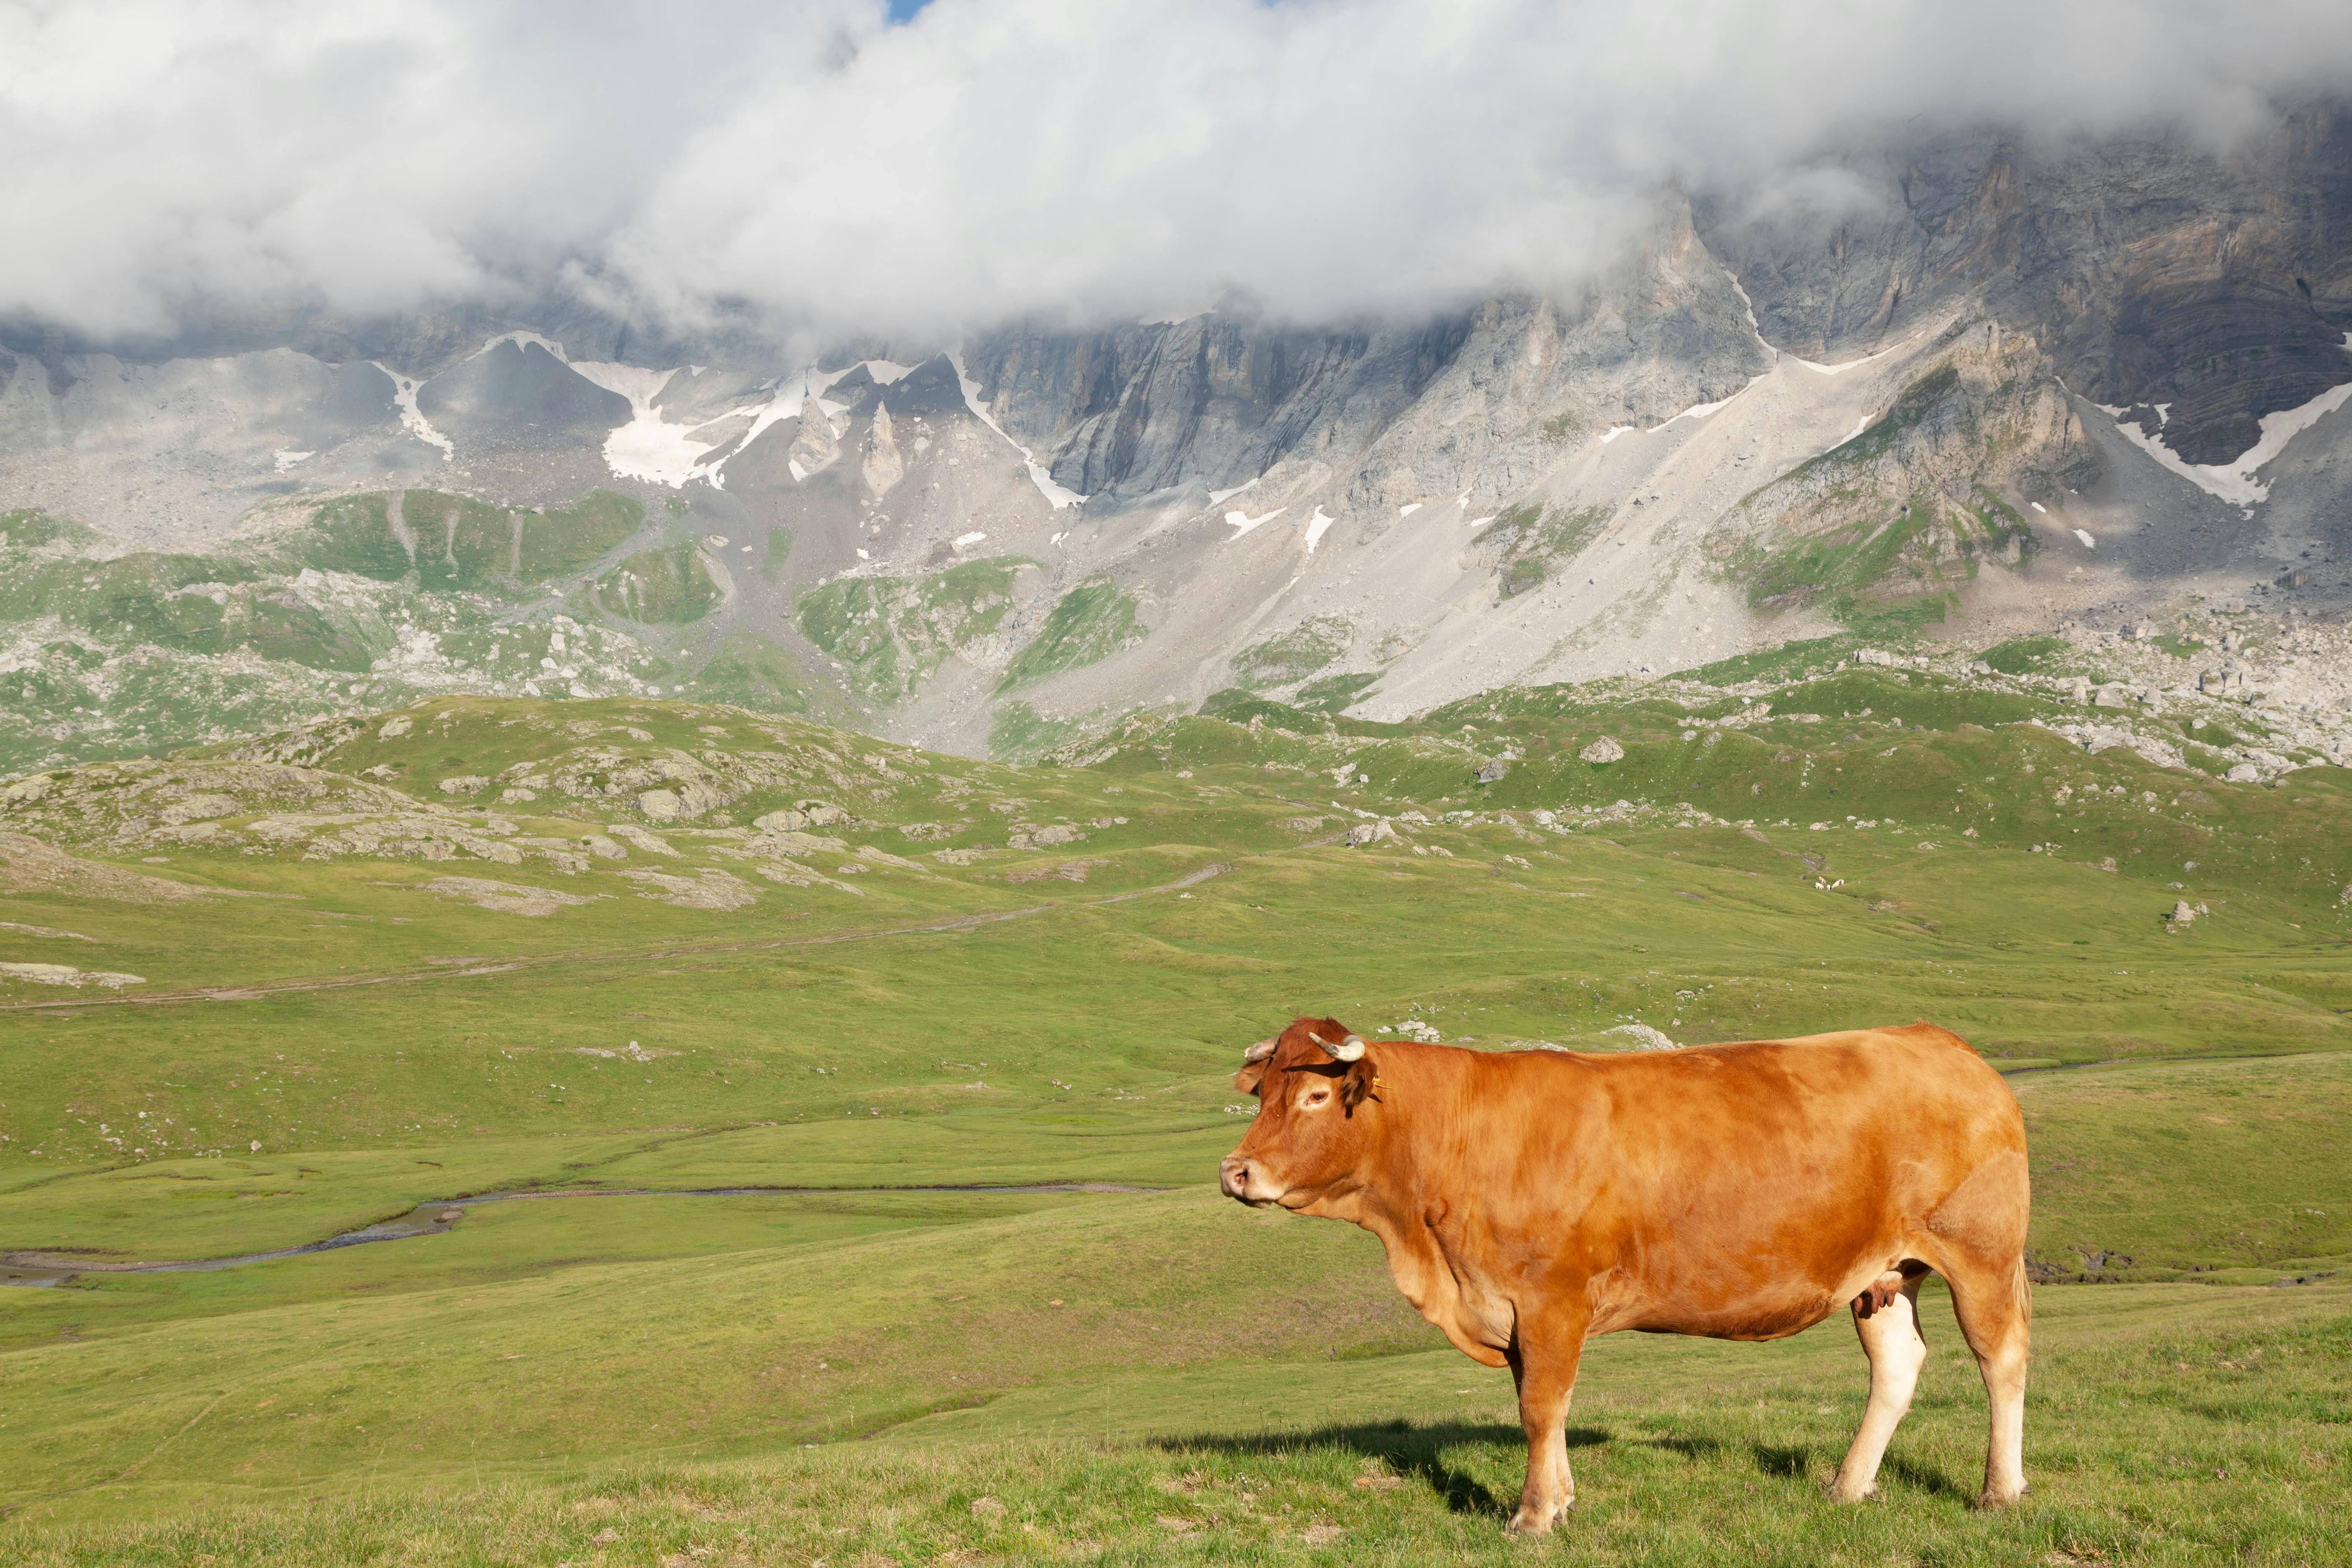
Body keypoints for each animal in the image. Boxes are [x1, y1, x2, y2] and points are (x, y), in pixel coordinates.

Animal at [1219, 1016, 2030, 1535]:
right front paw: (1561, 1501)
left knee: (2001, 1359)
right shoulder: (1516, 1310)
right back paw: (1846, 1486)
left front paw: (1531, 1517)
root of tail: (1938, 1040)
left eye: (1316, 1095)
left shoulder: (1549, 1298)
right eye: (1262, 1094)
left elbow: (1541, 1406)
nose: (1235, 1171)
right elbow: (1544, 1405)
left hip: (1980, 1253)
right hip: (1885, 1272)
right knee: (1897, 1364)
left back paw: (2000, 1492)